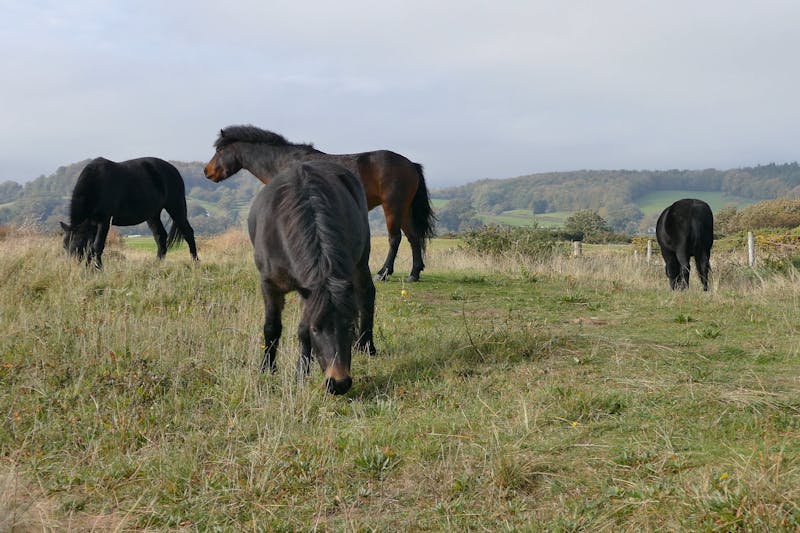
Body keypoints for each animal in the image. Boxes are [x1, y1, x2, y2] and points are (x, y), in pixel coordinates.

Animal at [60, 157, 198, 268]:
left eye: (78, 244)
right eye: (64, 245)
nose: (71, 266)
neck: (96, 183)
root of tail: (174, 170)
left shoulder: (104, 221)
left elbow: (97, 245)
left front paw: (98, 268)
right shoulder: (92, 224)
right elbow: (91, 246)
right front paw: (90, 268)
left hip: (175, 207)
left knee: (188, 232)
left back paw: (195, 261)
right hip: (152, 215)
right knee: (160, 236)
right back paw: (158, 264)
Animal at [204, 125, 436, 282]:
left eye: (220, 151)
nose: (207, 171)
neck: (285, 163)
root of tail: (410, 164)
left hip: (392, 208)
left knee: (395, 239)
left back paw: (383, 273)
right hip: (403, 210)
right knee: (414, 238)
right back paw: (414, 274)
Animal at [248, 160, 376, 395]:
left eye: (349, 326)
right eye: (316, 329)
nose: (339, 383)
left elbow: (301, 331)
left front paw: (300, 374)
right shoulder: (271, 285)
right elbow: (272, 327)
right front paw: (267, 369)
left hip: (361, 262)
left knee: (366, 294)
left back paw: (367, 346)